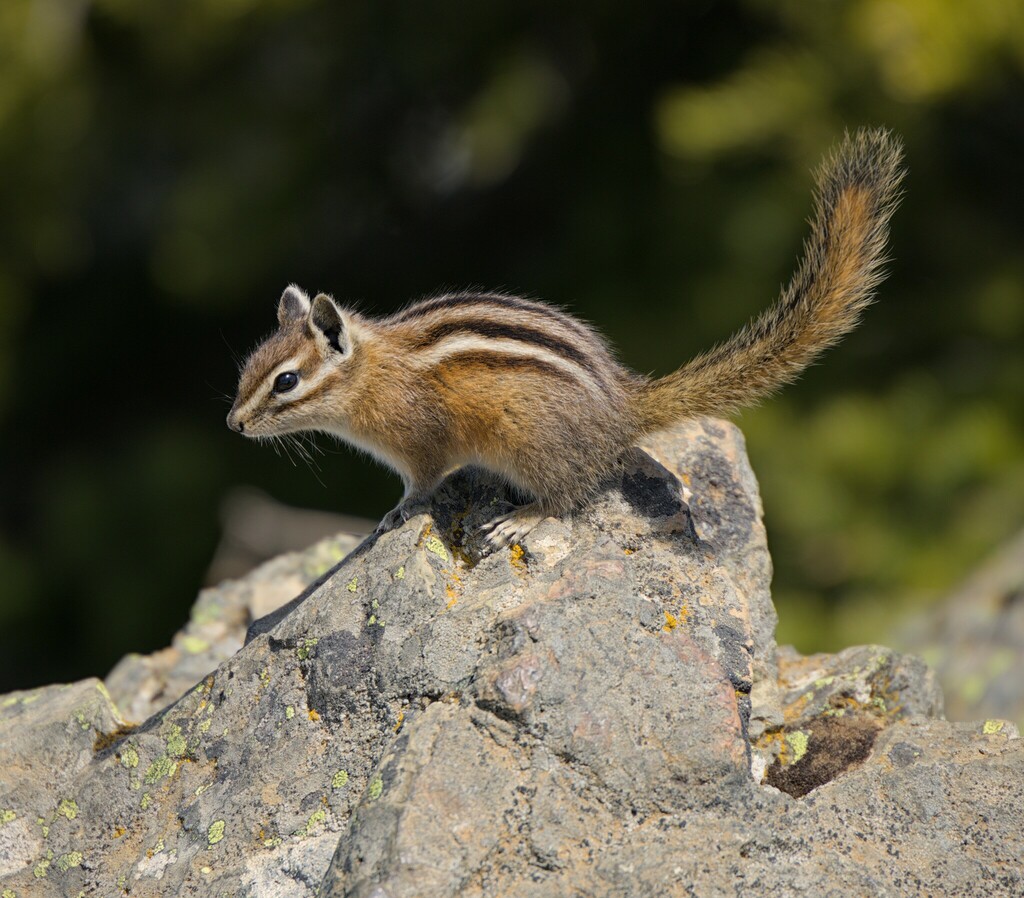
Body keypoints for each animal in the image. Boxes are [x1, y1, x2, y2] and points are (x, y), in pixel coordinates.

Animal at [227, 128, 904, 549]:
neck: (372, 375)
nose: (234, 424)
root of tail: (620, 407)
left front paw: (396, 511)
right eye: (248, 369)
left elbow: (423, 484)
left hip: (529, 440)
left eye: (286, 380)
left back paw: (524, 519)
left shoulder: (423, 442)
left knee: (570, 495)